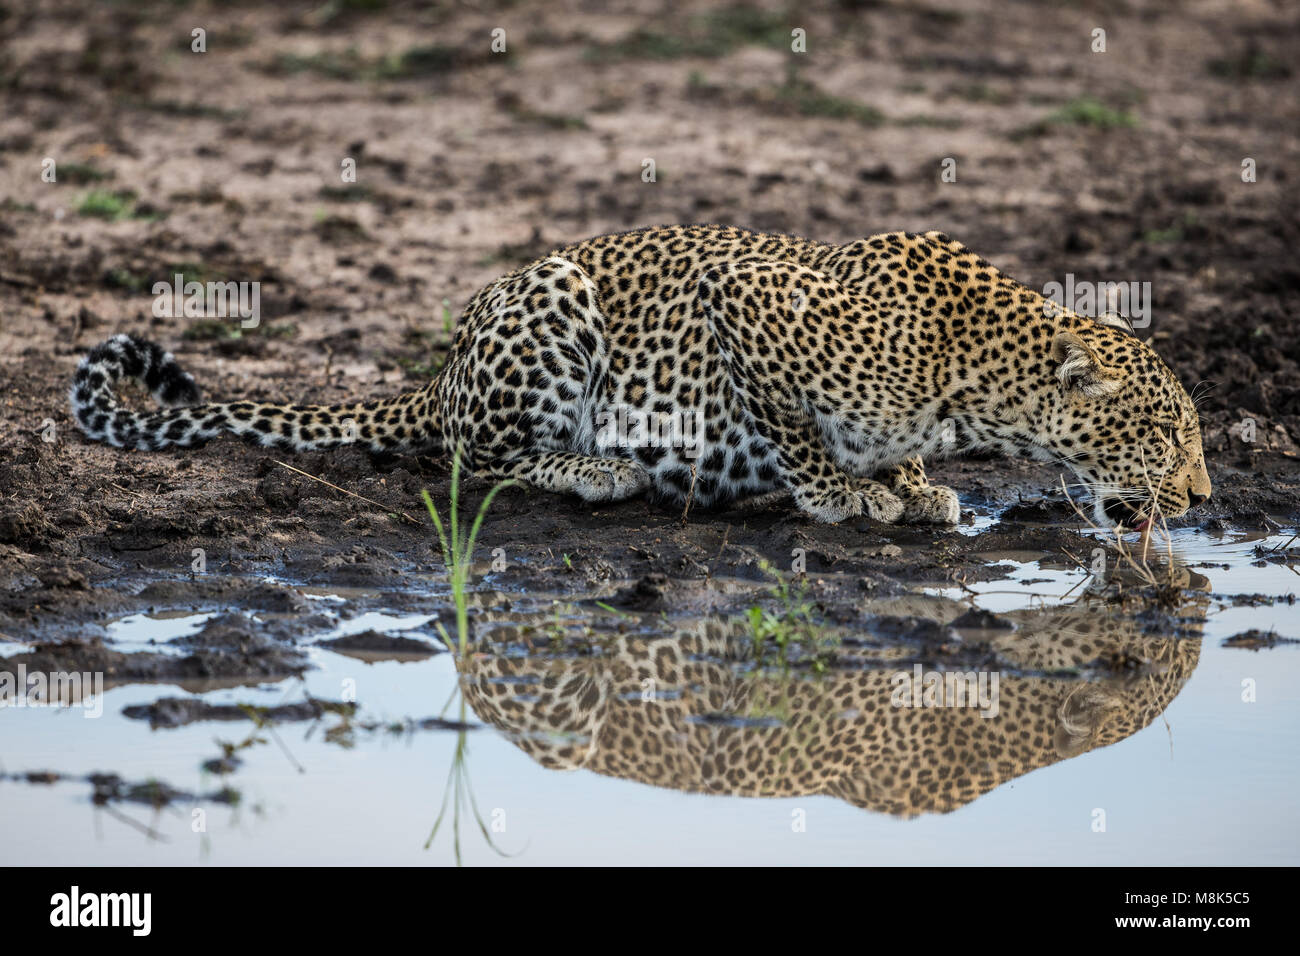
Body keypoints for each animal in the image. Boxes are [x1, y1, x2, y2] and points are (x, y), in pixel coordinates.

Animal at [69, 225, 1211, 528]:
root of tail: (440, 370)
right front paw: (840, 494)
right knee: (476, 462)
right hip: (553, 302)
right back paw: (596, 470)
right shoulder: (743, 296)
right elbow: (793, 425)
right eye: (1163, 434)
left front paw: (912, 485)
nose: (1201, 497)